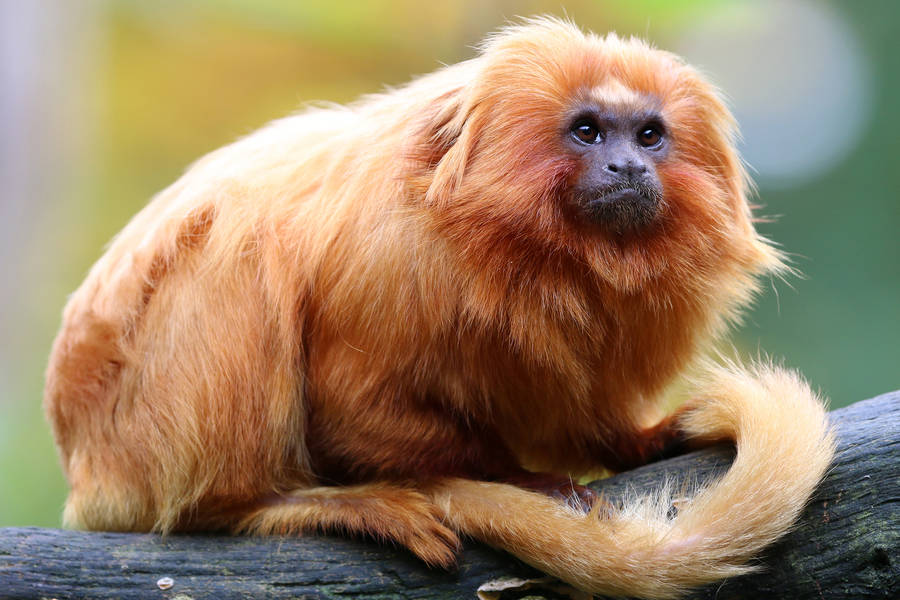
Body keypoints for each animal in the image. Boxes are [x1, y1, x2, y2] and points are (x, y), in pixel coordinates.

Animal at [44, 18, 835, 599]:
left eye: (649, 135)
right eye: (587, 131)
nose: (629, 168)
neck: (523, 252)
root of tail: (87, 470)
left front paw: (632, 444)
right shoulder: (388, 256)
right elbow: (353, 402)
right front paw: (515, 478)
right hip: (138, 436)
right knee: (237, 243)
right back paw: (271, 506)